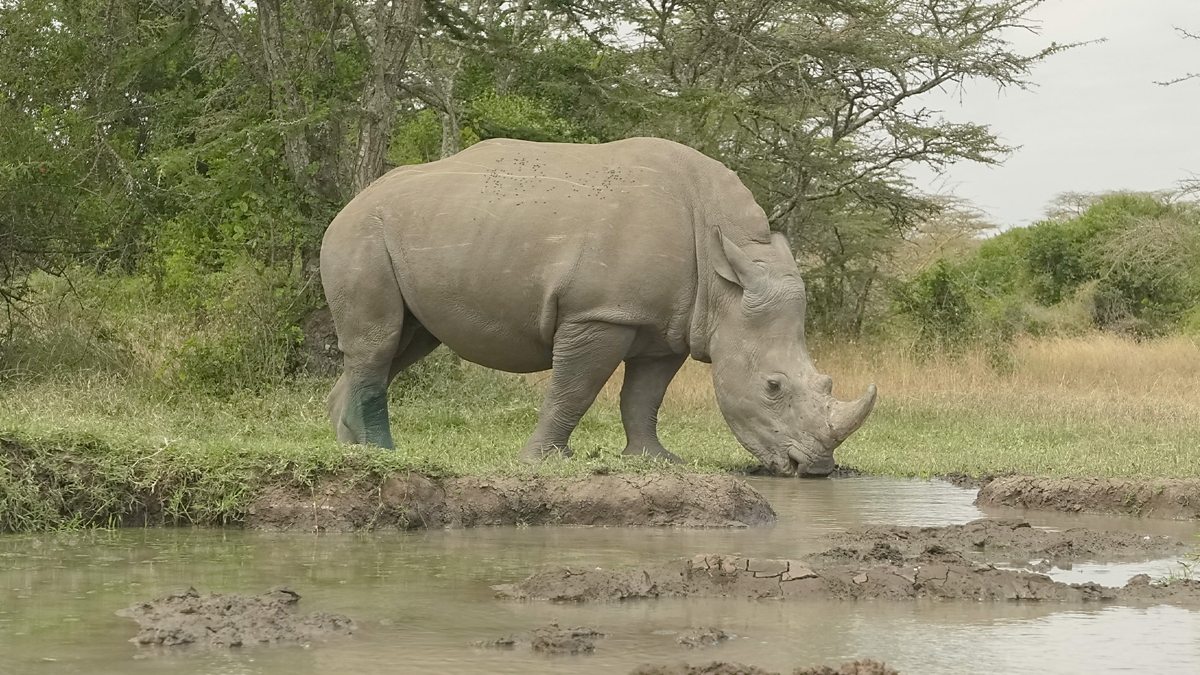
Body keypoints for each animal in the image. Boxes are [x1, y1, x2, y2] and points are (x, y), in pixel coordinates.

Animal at [319, 137, 876, 476]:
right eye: (772, 387)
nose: (815, 468)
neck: (727, 280)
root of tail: (354, 199)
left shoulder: (667, 327)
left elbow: (643, 397)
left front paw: (656, 460)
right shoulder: (601, 313)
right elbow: (575, 390)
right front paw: (540, 462)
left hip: (422, 230)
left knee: (405, 343)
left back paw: (350, 447)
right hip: (362, 232)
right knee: (381, 341)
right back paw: (381, 450)